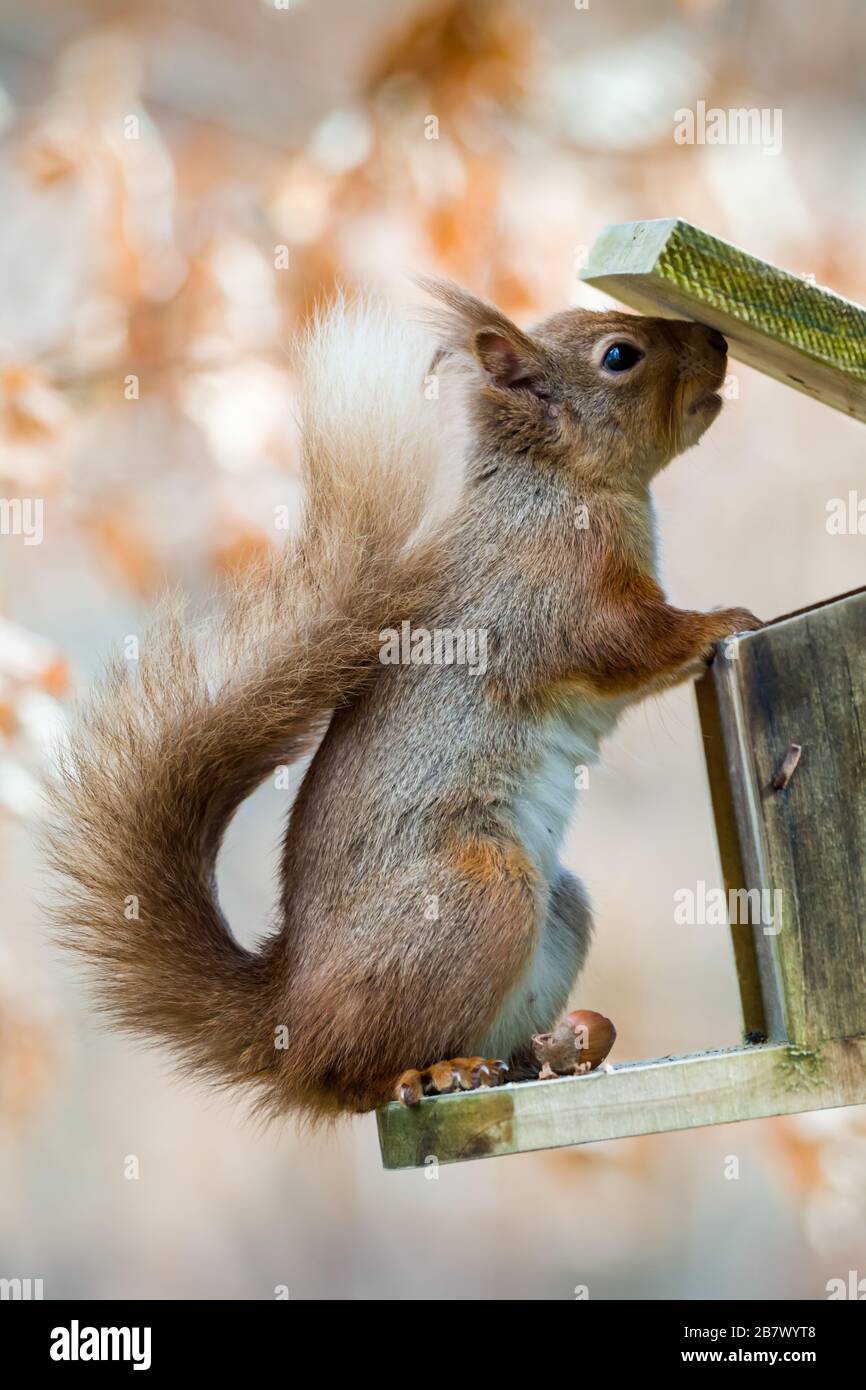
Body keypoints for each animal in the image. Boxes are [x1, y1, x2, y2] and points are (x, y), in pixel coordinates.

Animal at [47, 279, 761, 1122]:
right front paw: (725, 621)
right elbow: (628, 643)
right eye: (620, 355)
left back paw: (546, 1055)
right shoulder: (555, 595)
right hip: (479, 892)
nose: (718, 341)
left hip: (557, 908)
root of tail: (290, 1022)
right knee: (356, 1080)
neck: (556, 486)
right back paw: (428, 1075)